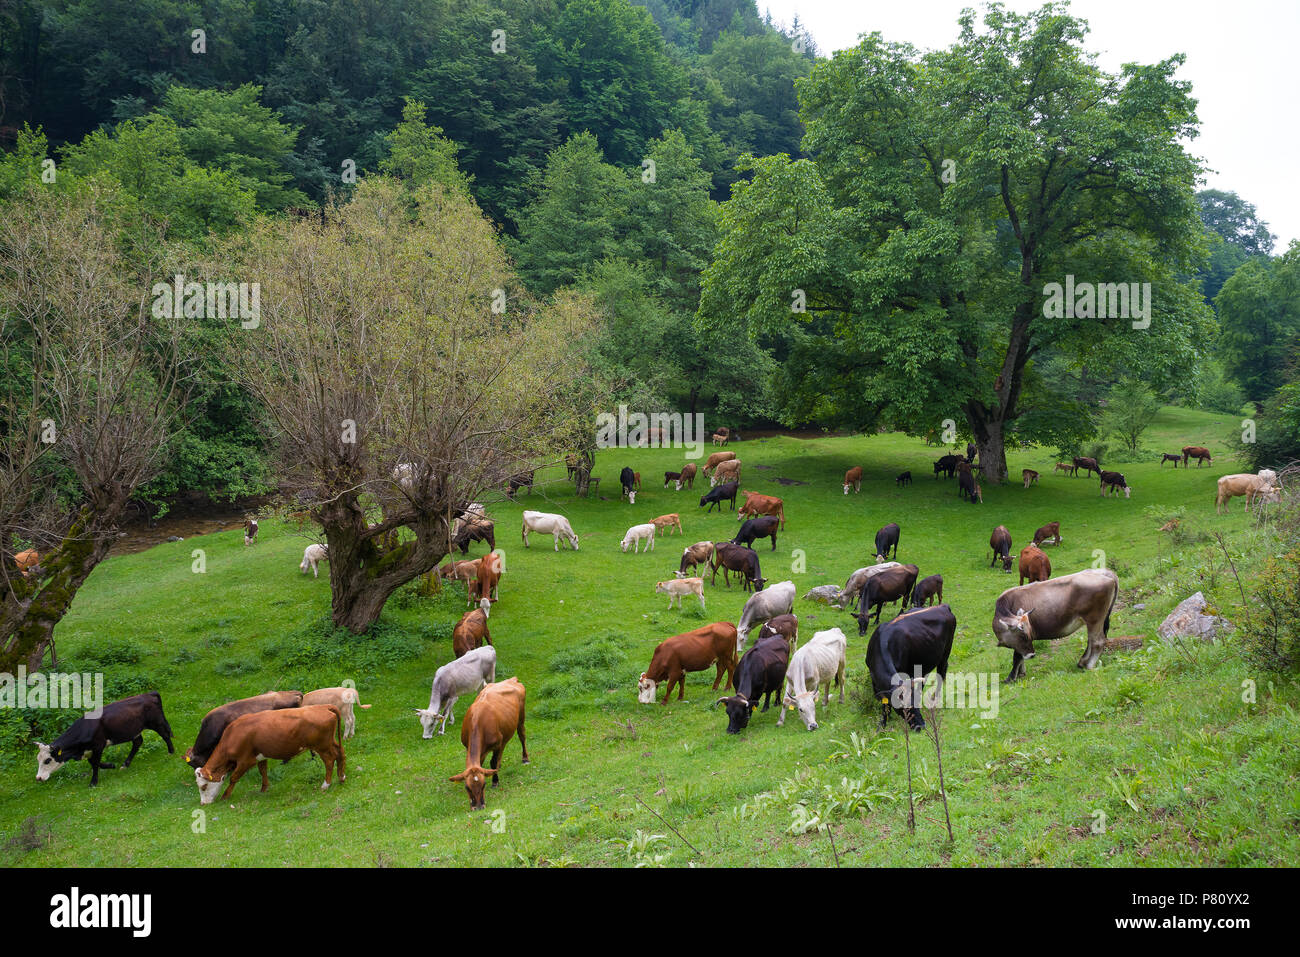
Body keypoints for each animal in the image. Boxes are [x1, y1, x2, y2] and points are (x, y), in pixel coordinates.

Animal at [36, 692, 174, 787]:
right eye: (38, 759)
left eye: (47, 760)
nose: (38, 778)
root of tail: (148, 694)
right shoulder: (90, 749)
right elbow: (93, 762)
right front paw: (111, 765)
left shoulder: (98, 745)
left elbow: (95, 763)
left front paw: (93, 782)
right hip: (134, 731)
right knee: (137, 743)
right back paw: (125, 764)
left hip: (156, 723)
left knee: (165, 735)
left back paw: (171, 752)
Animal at [194, 705, 344, 804]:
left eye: (203, 786)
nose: (203, 803)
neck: (233, 734)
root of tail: (323, 706)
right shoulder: (261, 756)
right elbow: (263, 771)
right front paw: (263, 788)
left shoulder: (246, 761)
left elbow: (234, 778)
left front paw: (225, 796)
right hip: (331, 742)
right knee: (341, 754)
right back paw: (341, 777)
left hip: (322, 746)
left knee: (330, 760)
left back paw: (326, 784)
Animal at [449, 678, 528, 810]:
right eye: (467, 787)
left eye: (484, 785)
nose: (478, 807)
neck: (478, 721)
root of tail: (511, 679)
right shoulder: (469, 747)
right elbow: (481, 764)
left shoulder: (496, 744)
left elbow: (492, 762)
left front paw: (495, 781)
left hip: (521, 717)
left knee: (522, 736)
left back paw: (525, 758)